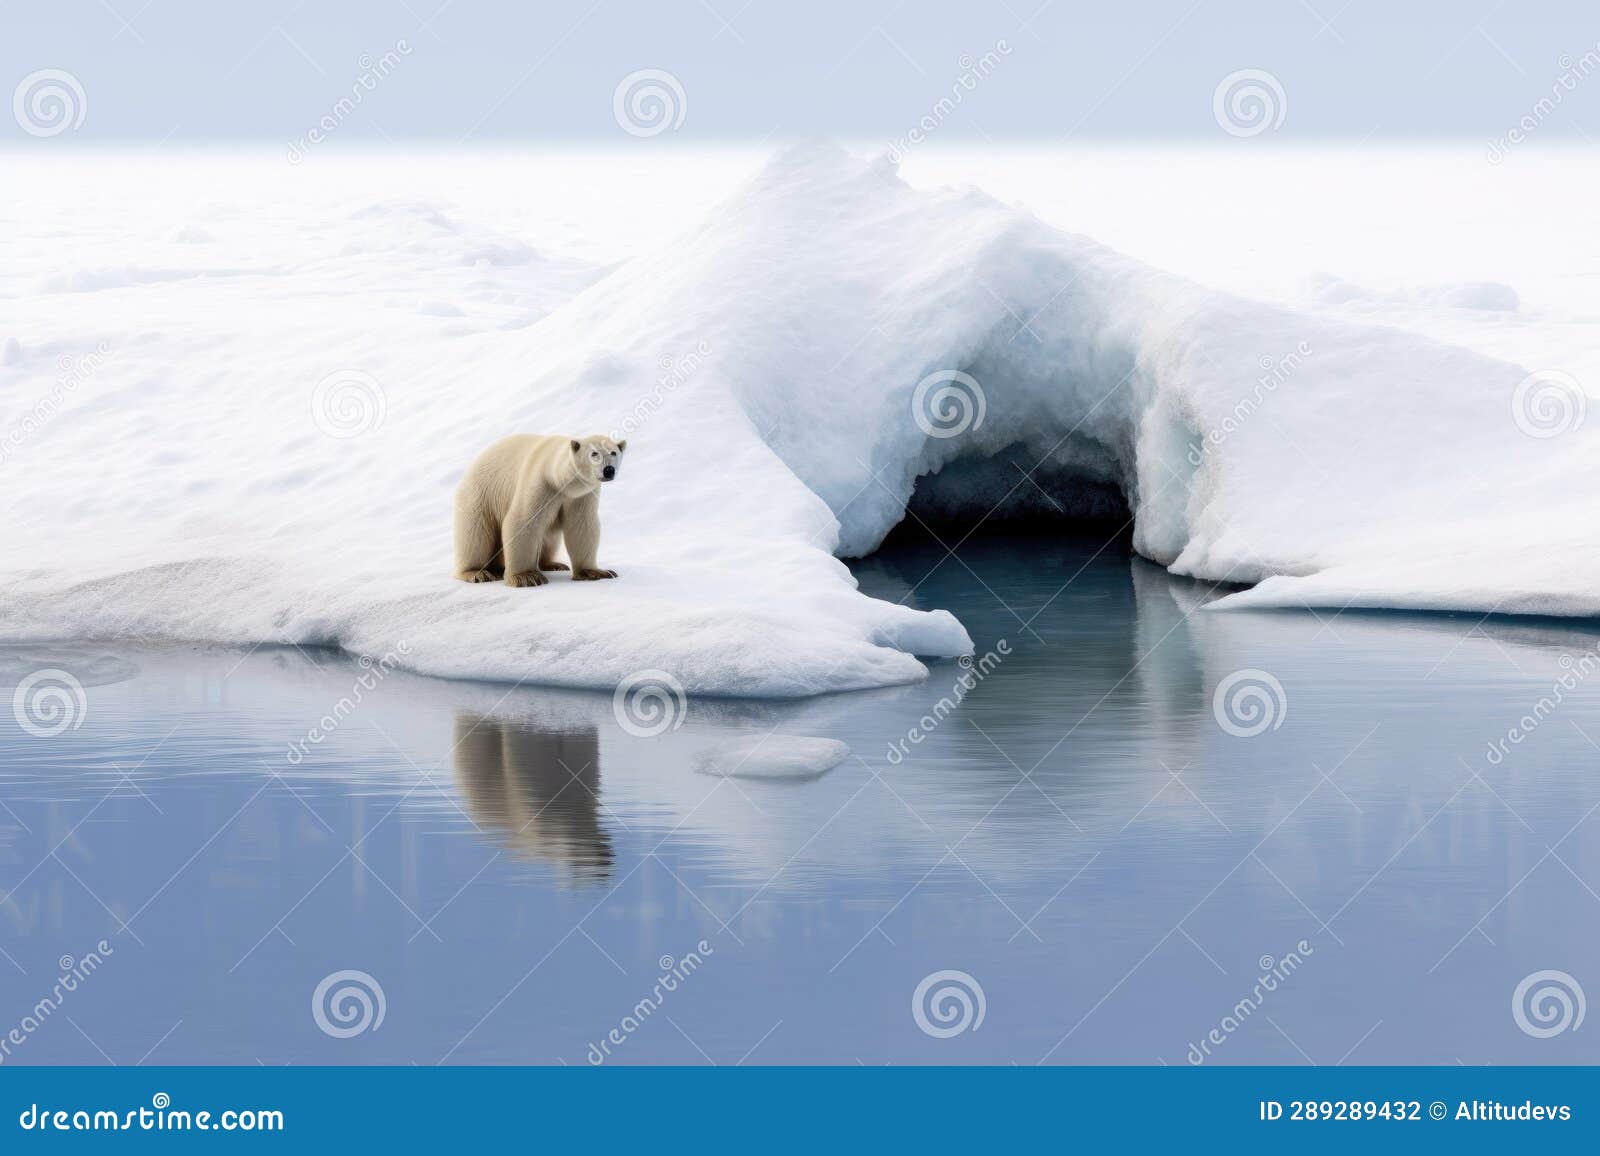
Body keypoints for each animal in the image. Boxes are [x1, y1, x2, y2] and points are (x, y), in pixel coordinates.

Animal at [453, 434, 625, 588]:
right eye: (594, 453)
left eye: (613, 452)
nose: (609, 470)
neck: (557, 478)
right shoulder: (540, 483)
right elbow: (522, 520)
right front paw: (526, 577)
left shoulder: (581, 495)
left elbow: (582, 526)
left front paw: (596, 572)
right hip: (479, 496)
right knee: (476, 536)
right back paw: (477, 572)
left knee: (550, 538)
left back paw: (553, 564)